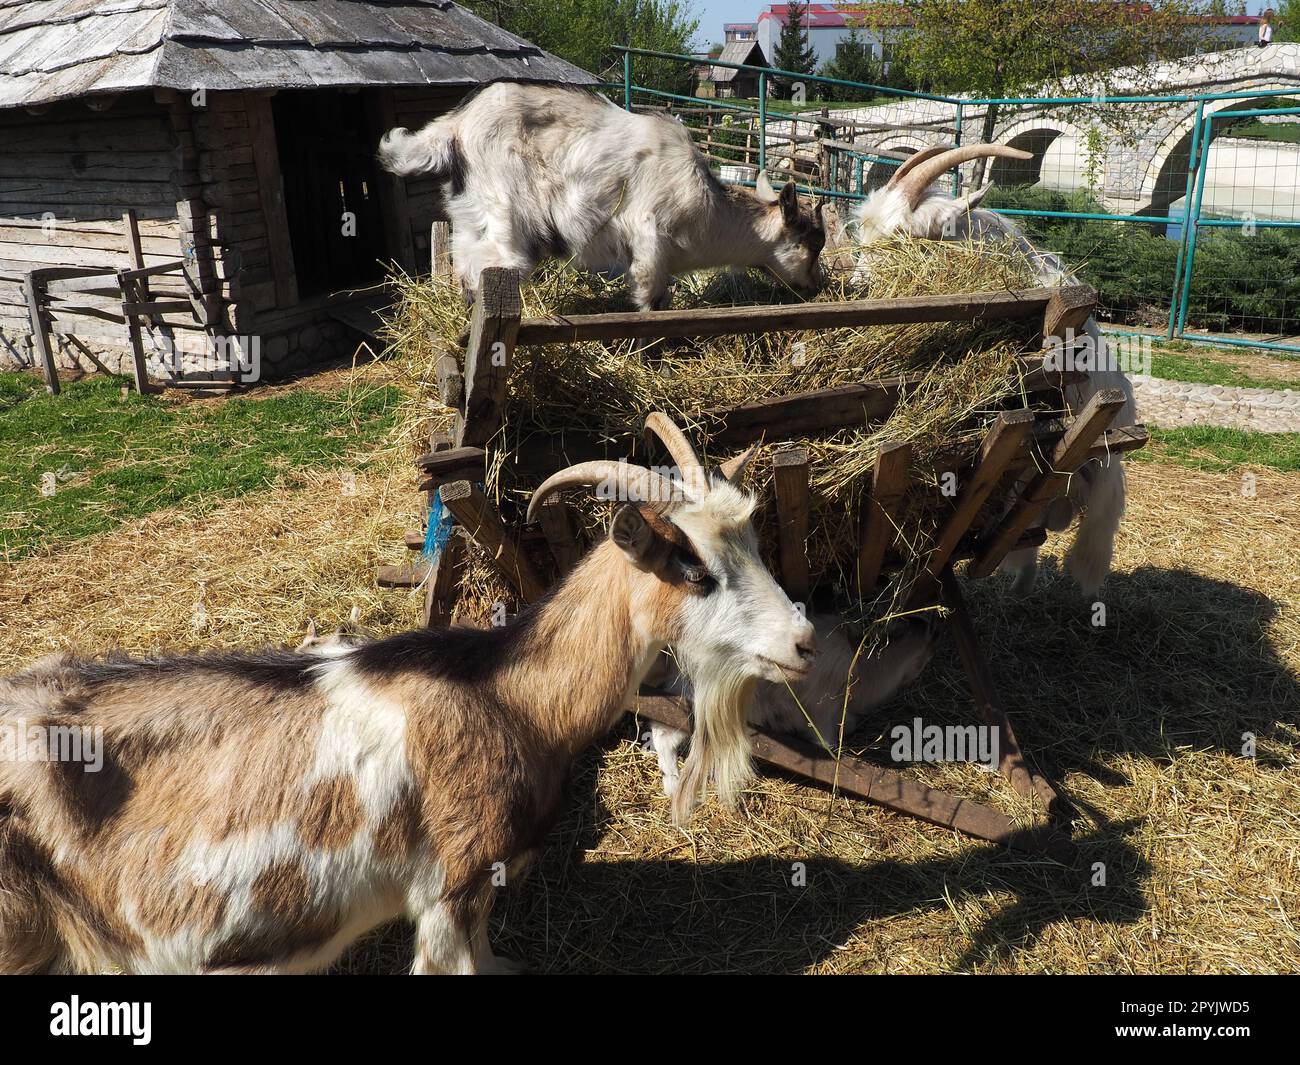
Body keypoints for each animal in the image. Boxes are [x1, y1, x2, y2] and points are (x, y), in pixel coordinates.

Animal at [0, 416, 814, 975]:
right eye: (695, 569)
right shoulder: (449, 887)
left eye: (755, 545)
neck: (510, 698)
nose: (804, 641)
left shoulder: (480, 895)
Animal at [377, 82, 826, 310]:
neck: (709, 211)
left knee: (463, 256)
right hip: (507, 210)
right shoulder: (650, 240)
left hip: (470, 209)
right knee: (492, 264)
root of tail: (455, 127)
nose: (816, 286)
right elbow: (650, 298)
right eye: (811, 243)